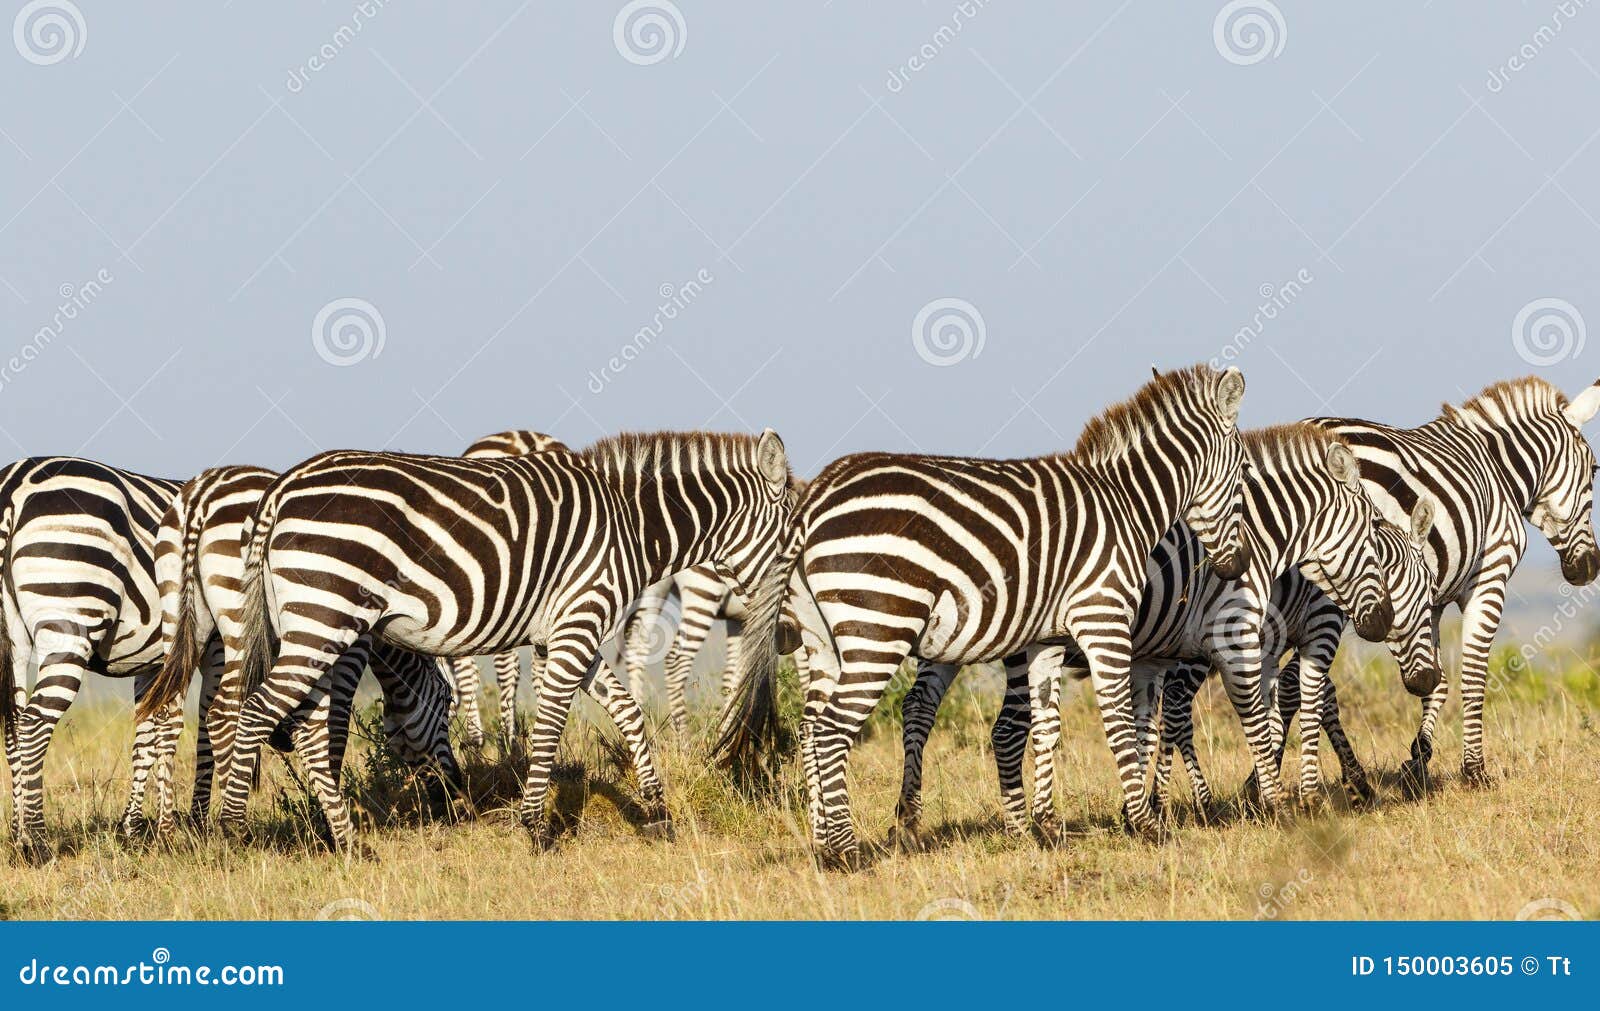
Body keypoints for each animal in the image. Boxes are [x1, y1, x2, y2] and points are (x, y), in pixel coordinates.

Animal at [132, 466, 461, 839]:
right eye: (446, 700)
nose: (455, 796)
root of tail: (202, 493)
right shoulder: (350, 646)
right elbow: (336, 724)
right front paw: (326, 817)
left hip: (179, 612)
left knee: (169, 712)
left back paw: (168, 829)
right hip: (238, 619)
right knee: (225, 712)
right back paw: (229, 824)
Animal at [446, 429, 568, 753]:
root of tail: (526, 441)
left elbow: (467, 672)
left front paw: (475, 739)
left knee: (507, 666)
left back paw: (507, 738)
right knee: (540, 665)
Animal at [721, 365, 1253, 869]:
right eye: (1246, 472)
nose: (1239, 565)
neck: (1125, 501)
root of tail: (816, 497)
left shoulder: (1047, 639)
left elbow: (1047, 724)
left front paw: (1047, 826)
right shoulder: (1102, 616)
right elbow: (1119, 720)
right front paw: (1145, 826)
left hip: (824, 639)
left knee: (814, 728)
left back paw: (824, 845)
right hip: (879, 627)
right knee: (833, 729)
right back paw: (846, 852)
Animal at [890, 425, 1425, 840]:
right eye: (1412, 587)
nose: (1426, 681)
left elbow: (1166, 723)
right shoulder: (1280, 634)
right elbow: (1303, 703)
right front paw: (1314, 792)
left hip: (951, 641)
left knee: (920, 706)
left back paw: (909, 818)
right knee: (1009, 729)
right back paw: (1023, 825)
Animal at [1313, 376, 1600, 791]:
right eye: (1594, 470)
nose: (1590, 568)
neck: (1500, 471)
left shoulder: (1428, 597)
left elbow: (1435, 680)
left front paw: (1417, 763)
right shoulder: (1488, 577)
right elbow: (1473, 675)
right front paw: (1474, 770)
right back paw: (1347, 780)